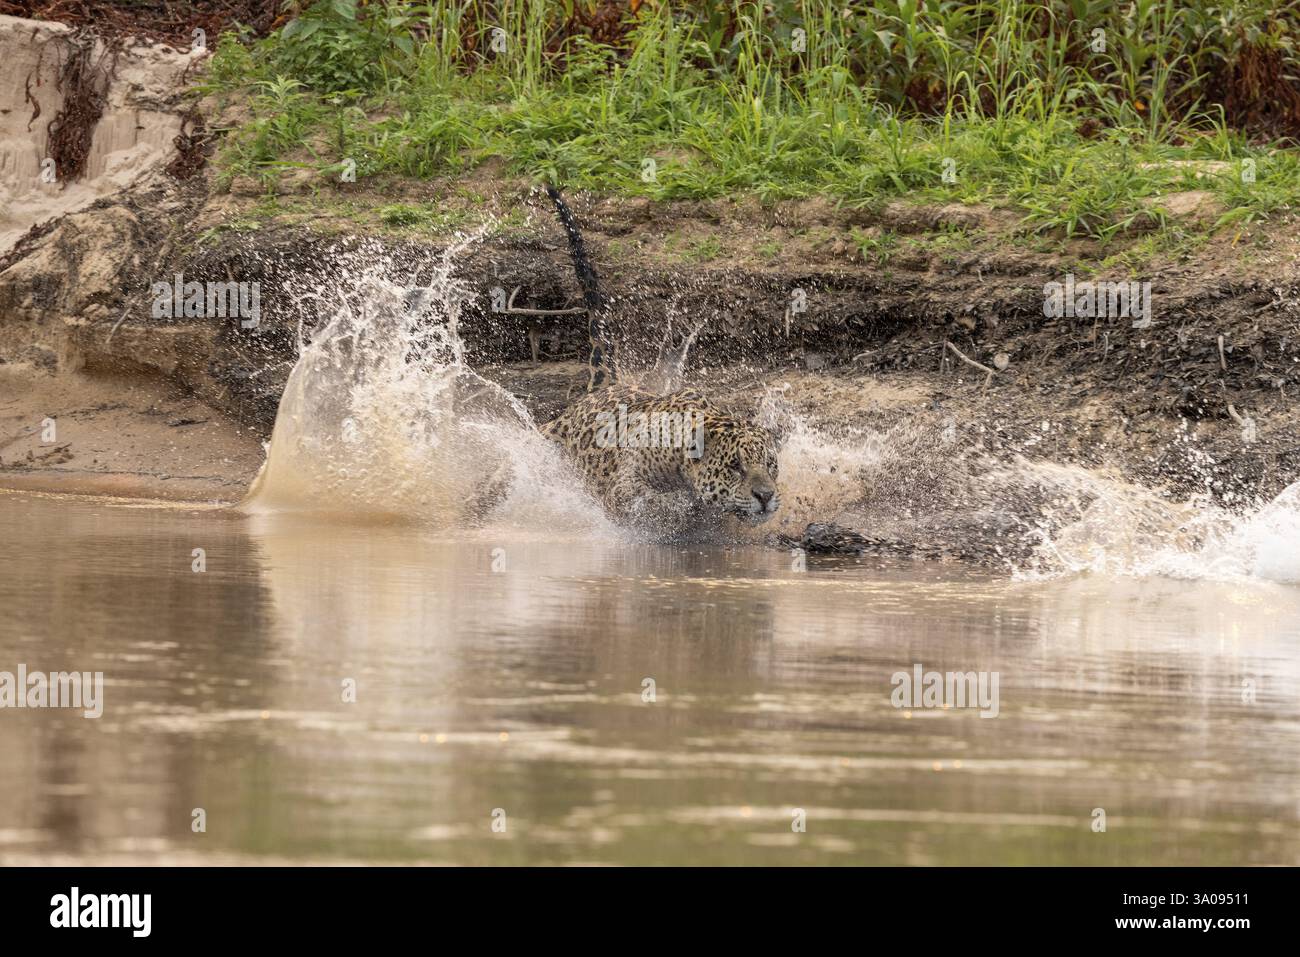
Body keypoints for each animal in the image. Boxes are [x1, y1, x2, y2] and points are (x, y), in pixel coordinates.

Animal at [540, 186, 782, 530]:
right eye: (735, 466)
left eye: (771, 463)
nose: (766, 495)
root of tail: (606, 387)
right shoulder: (623, 486)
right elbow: (655, 502)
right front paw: (678, 509)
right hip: (548, 436)